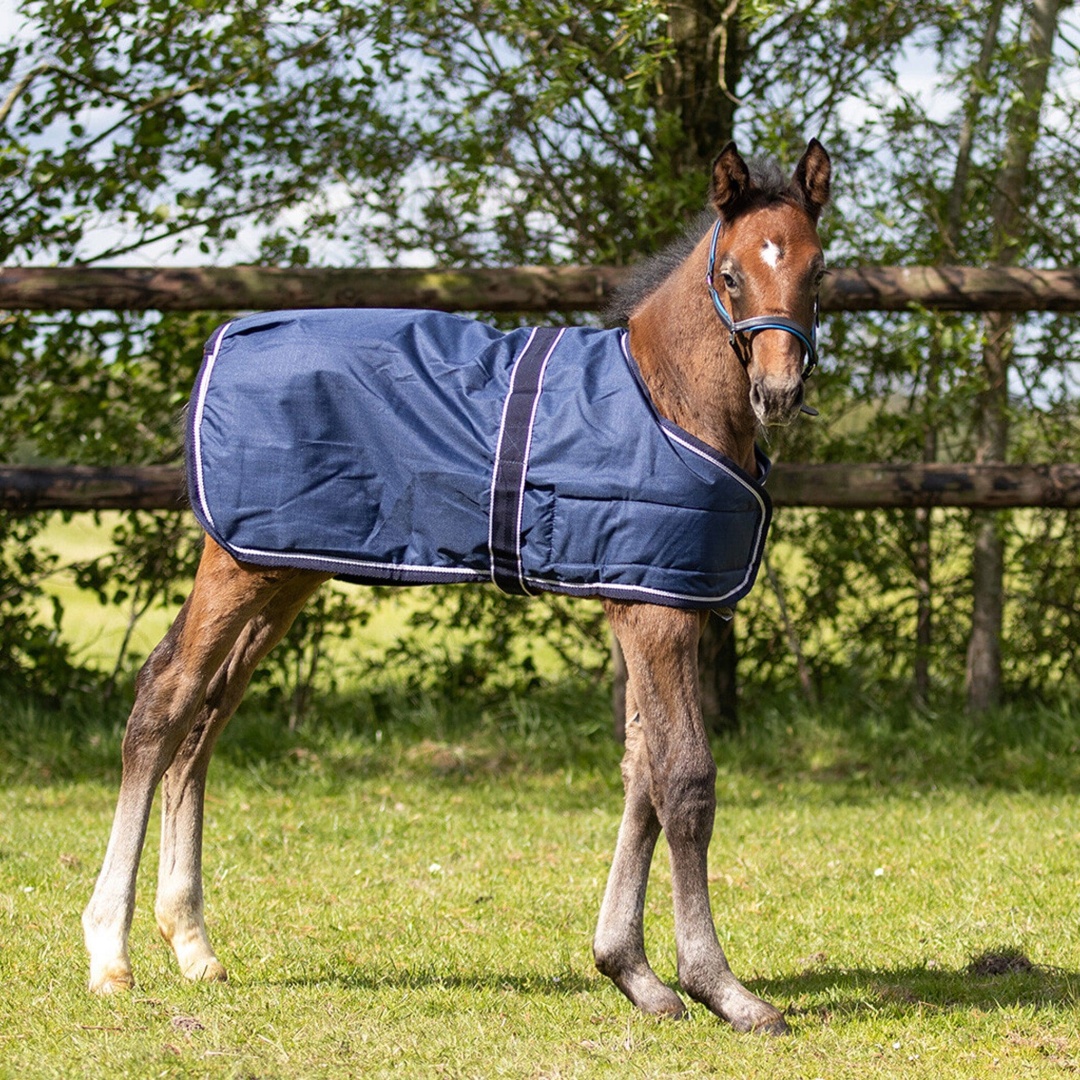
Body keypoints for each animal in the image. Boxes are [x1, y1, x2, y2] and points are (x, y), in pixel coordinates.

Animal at [82, 139, 831, 1035]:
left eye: (818, 271)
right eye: (730, 277)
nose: (779, 393)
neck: (665, 400)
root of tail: (225, 337)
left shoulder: (652, 603)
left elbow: (640, 776)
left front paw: (632, 973)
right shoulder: (656, 616)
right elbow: (682, 782)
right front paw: (719, 987)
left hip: (281, 566)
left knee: (207, 716)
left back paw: (192, 943)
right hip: (239, 565)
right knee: (166, 699)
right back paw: (111, 954)